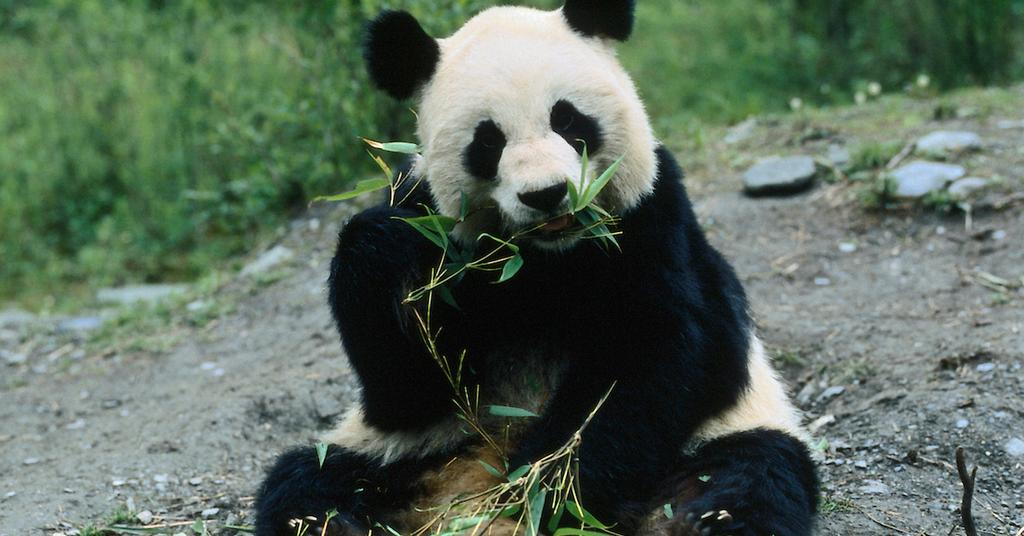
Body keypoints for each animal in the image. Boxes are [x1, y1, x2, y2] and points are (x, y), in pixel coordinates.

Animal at [254, 2, 819, 536]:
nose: (546, 194)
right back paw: (340, 523)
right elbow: (405, 389)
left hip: (724, 433)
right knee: (306, 482)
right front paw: (387, 244)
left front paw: (544, 488)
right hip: (398, 454)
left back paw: (688, 519)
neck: (545, 256)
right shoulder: (437, 234)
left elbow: (651, 356)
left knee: (746, 478)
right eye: (488, 141)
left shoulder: (650, 222)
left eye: (567, 120)